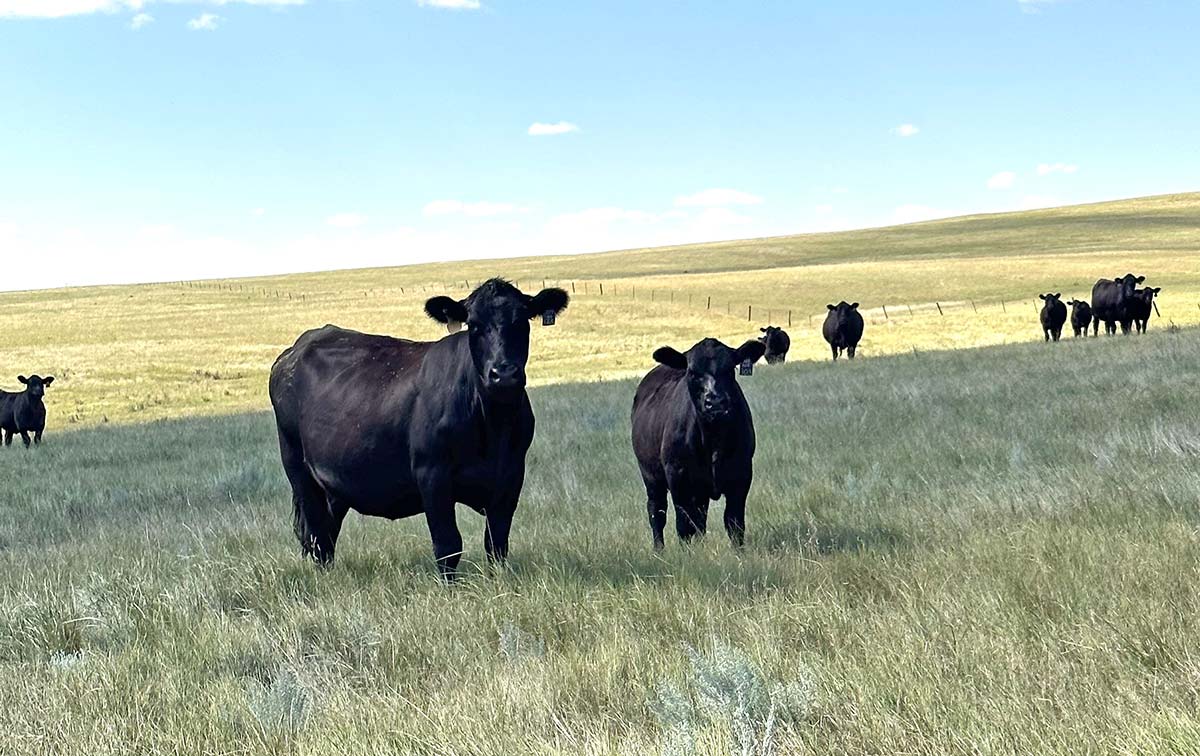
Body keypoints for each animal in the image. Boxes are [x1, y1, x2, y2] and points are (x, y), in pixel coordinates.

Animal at [268, 279, 569, 580]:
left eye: (522, 321)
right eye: (473, 325)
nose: (503, 374)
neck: (492, 427)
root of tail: (296, 349)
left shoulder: (510, 476)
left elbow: (496, 543)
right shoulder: (432, 474)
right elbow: (448, 544)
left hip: (335, 478)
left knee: (328, 530)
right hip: (297, 467)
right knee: (316, 533)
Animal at [631, 337, 766, 551]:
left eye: (730, 368)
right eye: (692, 372)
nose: (715, 402)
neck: (712, 439)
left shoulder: (742, 473)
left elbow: (734, 522)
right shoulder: (677, 476)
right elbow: (683, 524)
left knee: (700, 518)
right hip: (650, 476)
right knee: (657, 512)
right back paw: (659, 550)